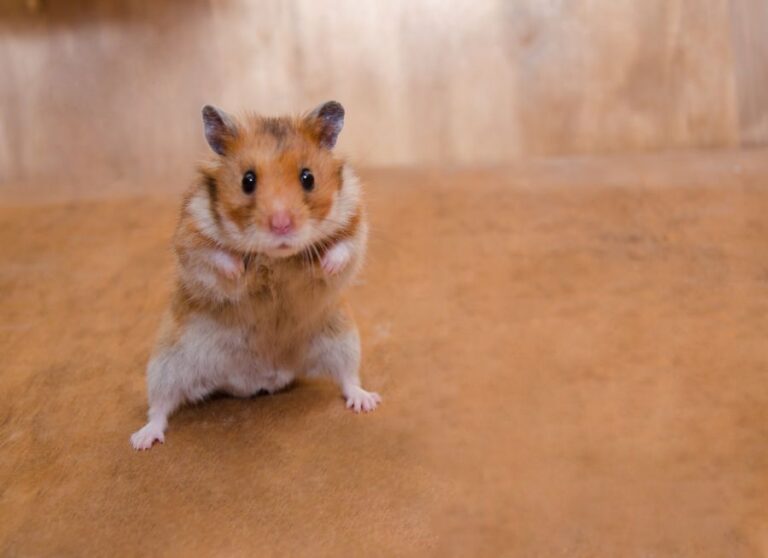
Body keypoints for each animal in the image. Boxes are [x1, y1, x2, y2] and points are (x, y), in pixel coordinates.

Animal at [130, 101, 380, 450]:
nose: (281, 225)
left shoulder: (355, 216)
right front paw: (239, 270)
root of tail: (258, 380)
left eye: (308, 178)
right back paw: (142, 440)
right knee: (160, 405)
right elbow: (214, 256)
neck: (275, 258)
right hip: (167, 363)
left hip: (342, 340)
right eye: (247, 181)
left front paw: (324, 266)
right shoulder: (191, 235)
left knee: (347, 378)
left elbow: (345, 246)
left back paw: (366, 401)